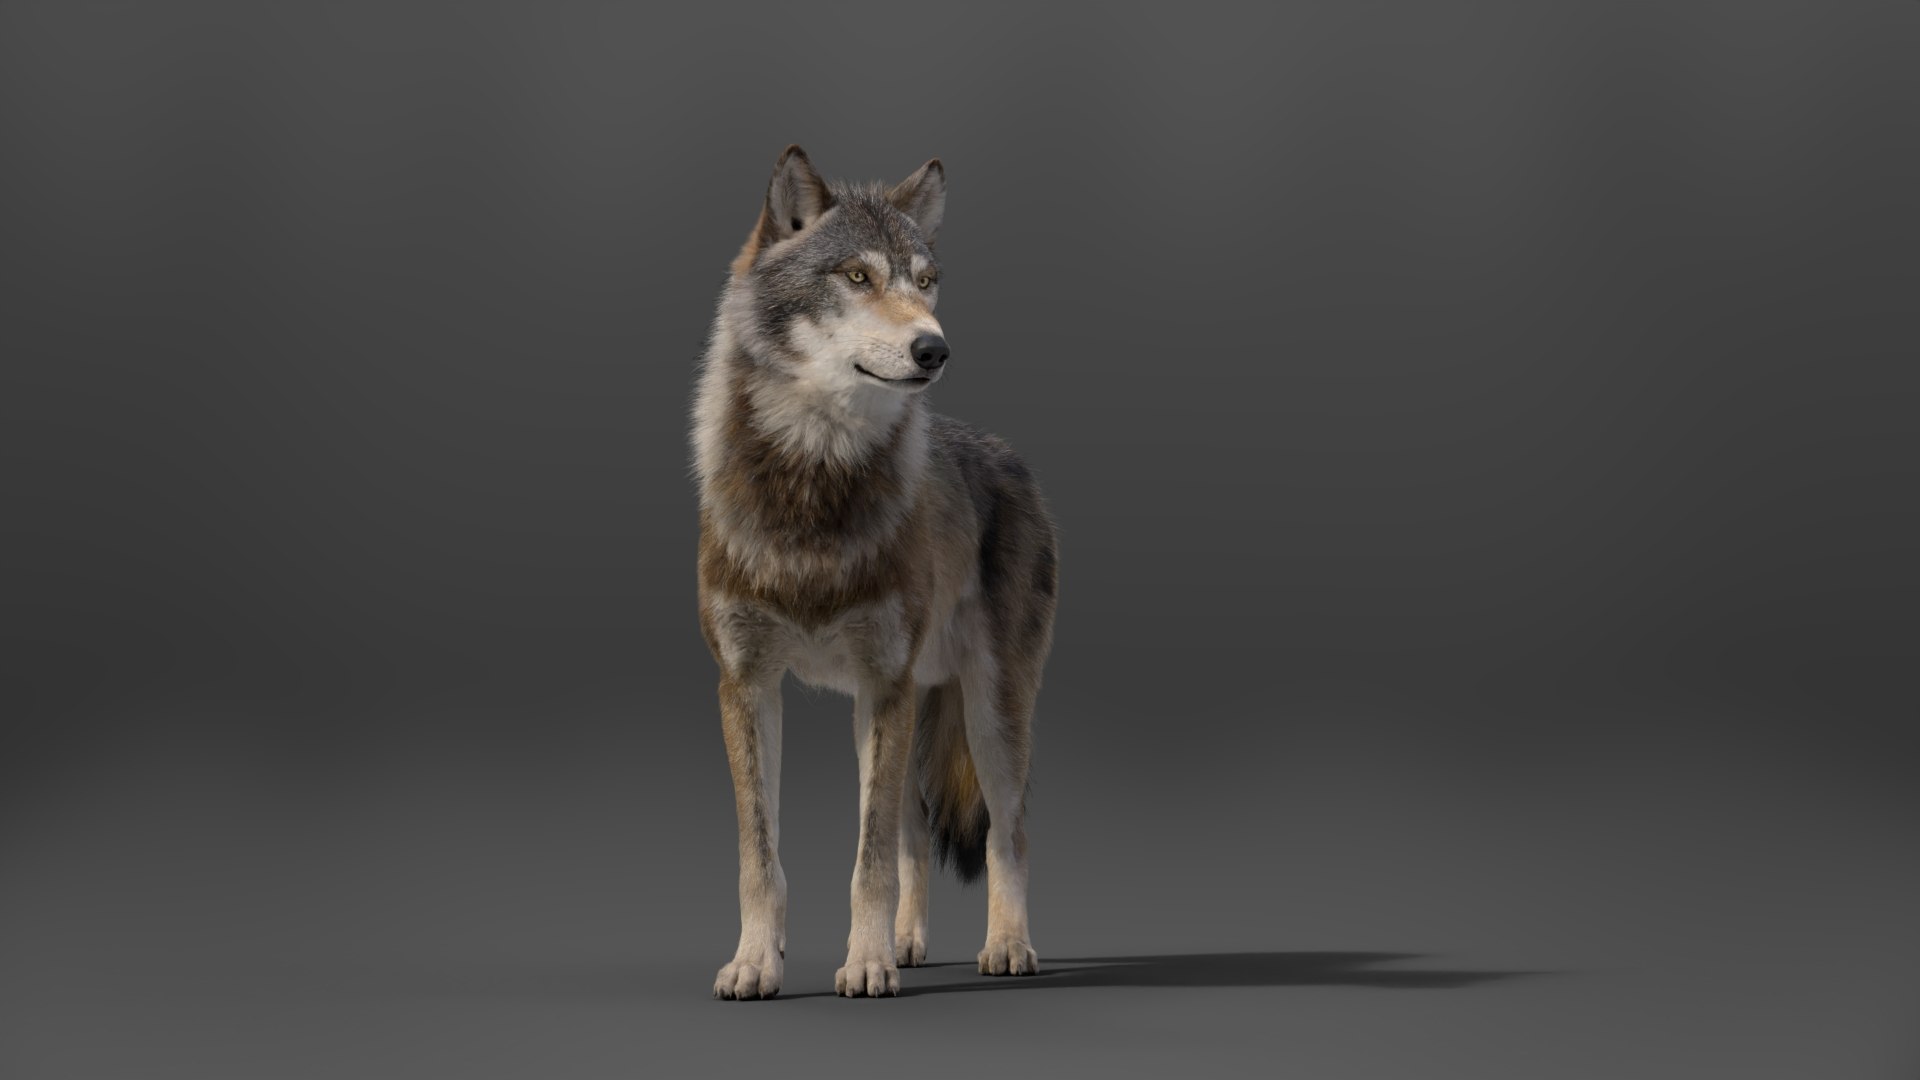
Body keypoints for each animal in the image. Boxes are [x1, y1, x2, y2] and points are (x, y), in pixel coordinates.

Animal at [690, 146, 1058, 999]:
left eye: (925, 280)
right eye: (856, 276)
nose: (935, 349)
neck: (812, 485)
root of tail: (1007, 454)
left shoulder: (882, 683)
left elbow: (868, 861)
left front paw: (863, 963)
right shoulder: (748, 684)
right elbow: (763, 854)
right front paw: (756, 961)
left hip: (990, 712)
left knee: (1008, 830)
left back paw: (1007, 947)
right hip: (905, 705)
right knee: (913, 831)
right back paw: (910, 942)